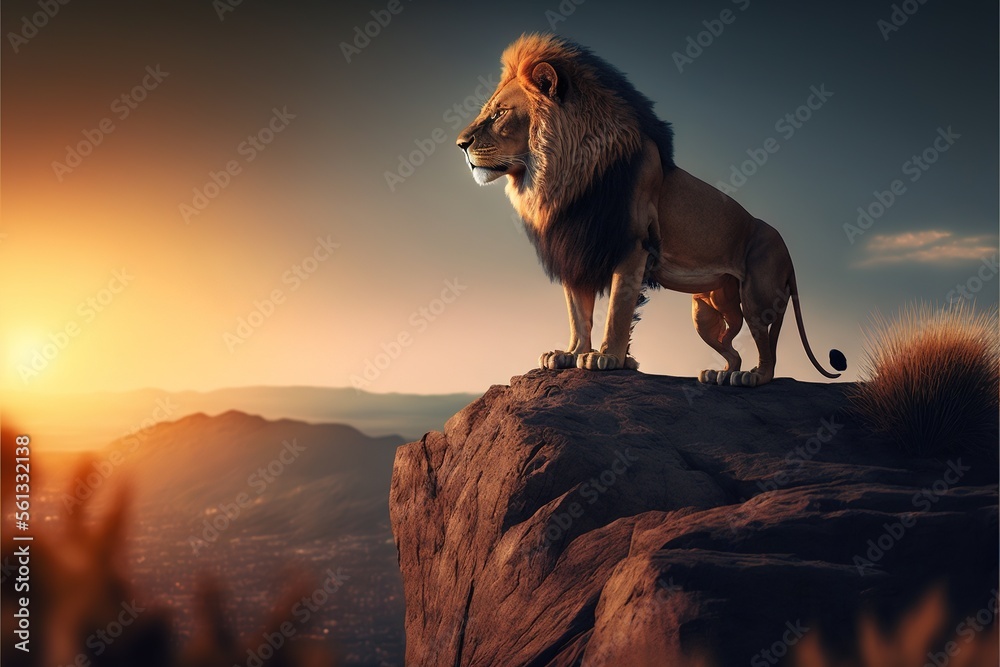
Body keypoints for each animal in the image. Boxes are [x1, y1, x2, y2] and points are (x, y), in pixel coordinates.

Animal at [456, 34, 847, 387]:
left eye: (500, 113)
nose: (460, 143)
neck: (563, 176)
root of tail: (787, 250)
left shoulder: (633, 245)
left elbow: (617, 309)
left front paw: (608, 358)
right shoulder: (575, 248)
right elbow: (578, 313)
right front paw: (570, 353)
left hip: (757, 295)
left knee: (768, 351)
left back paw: (750, 377)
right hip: (708, 310)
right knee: (731, 344)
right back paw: (720, 374)